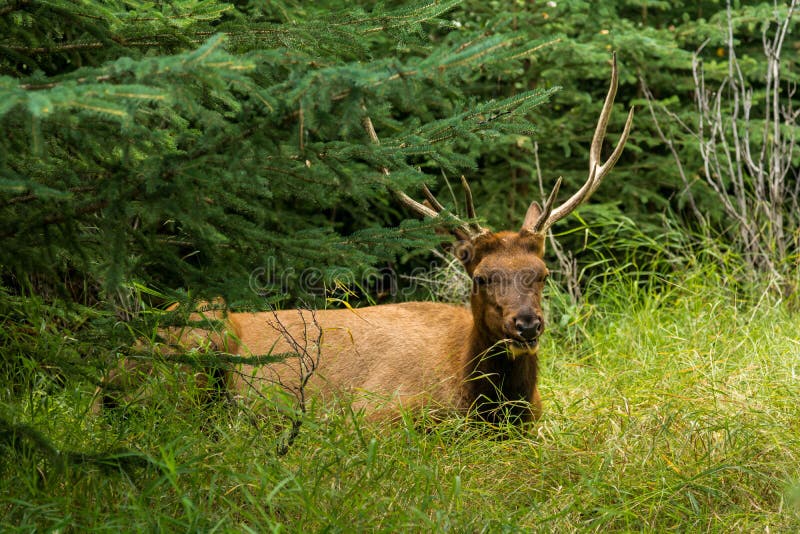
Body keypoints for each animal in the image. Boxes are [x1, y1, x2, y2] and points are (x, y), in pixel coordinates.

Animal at [96, 55, 633, 424]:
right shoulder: (376, 412)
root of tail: (110, 369)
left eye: (541, 274)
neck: (480, 404)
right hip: (196, 337)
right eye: (481, 277)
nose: (526, 324)